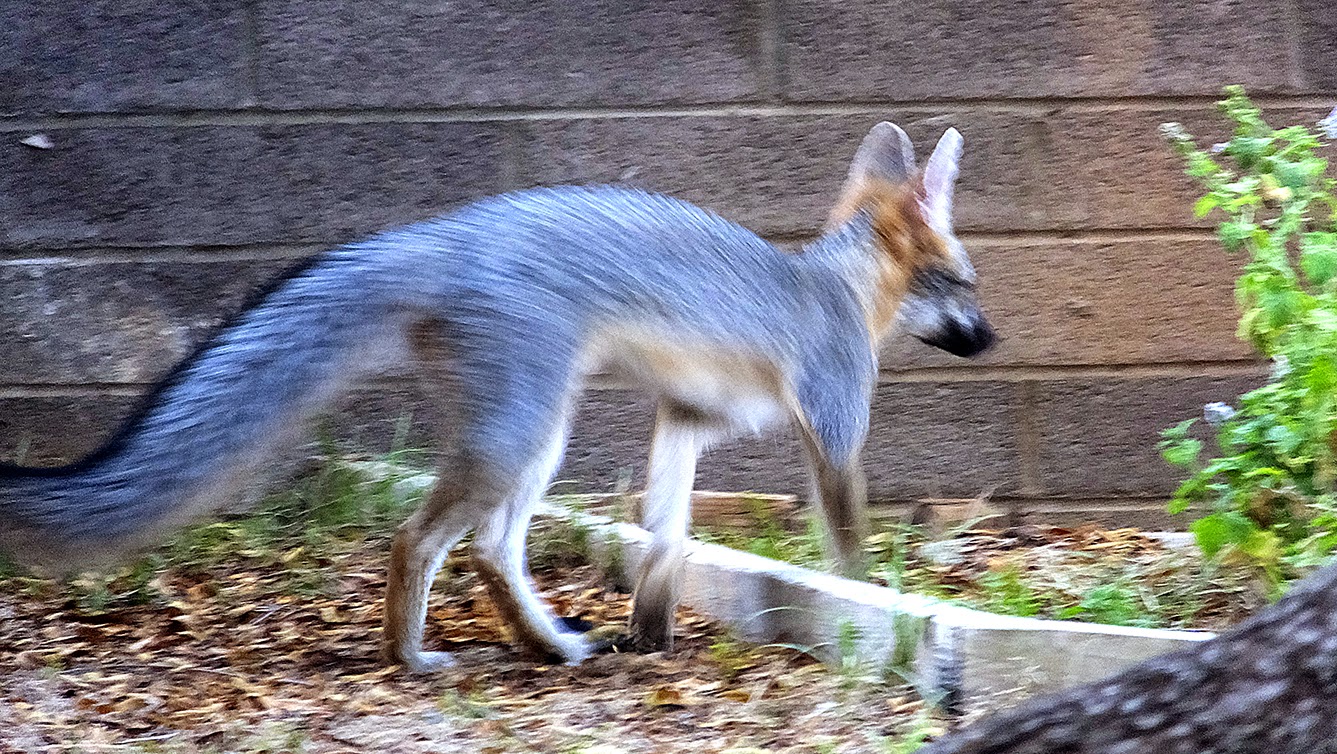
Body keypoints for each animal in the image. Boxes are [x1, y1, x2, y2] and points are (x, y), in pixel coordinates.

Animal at [0, 122, 993, 672]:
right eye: (962, 284)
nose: (990, 339)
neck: (828, 289)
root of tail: (440, 233)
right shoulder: (834, 431)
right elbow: (847, 552)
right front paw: (874, 606)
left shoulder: (684, 421)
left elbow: (666, 540)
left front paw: (653, 634)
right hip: (527, 437)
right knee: (427, 540)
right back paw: (417, 657)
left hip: (530, 440)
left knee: (486, 549)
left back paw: (545, 645)